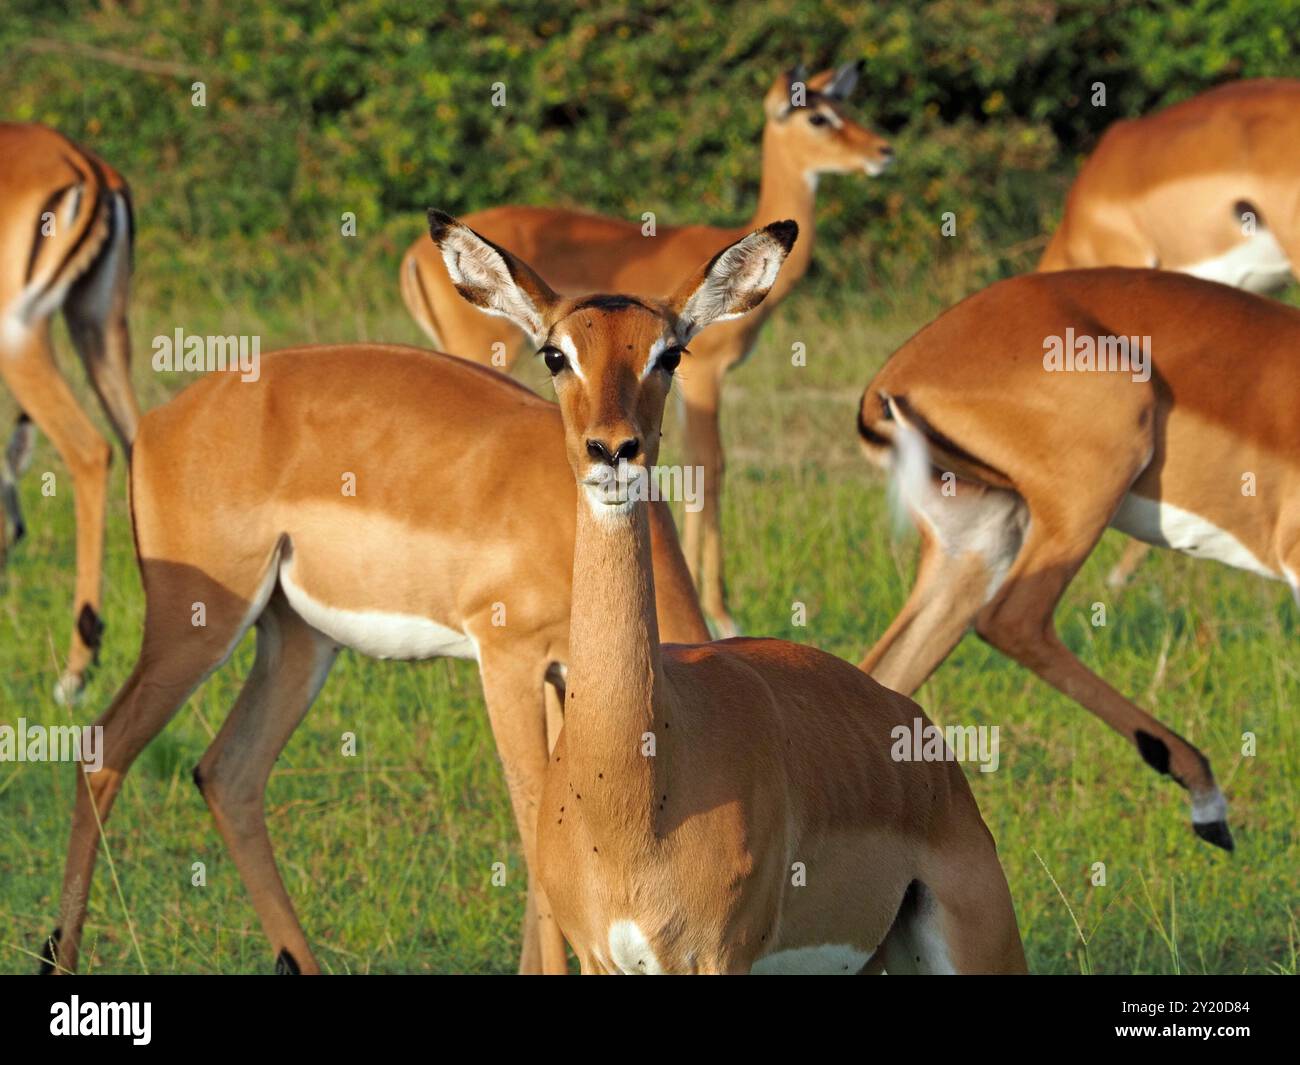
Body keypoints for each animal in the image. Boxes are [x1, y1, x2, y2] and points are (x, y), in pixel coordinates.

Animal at [43, 339, 709, 976]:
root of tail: (154, 426)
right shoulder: (508, 659)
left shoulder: (562, 679)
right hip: (193, 627)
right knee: (101, 747)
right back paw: (60, 956)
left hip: (298, 643)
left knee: (227, 772)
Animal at [400, 61, 893, 638]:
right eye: (818, 117)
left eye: (843, 107)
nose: (883, 150)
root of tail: (414, 255)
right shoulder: (710, 374)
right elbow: (710, 465)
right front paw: (722, 612)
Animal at [424, 213, 1026, 973]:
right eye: (555, 354)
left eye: (670, 354)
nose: (613, 450)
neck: (632, 792)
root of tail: (927, 747)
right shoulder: (599, 955)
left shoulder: (717, 956)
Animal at [853, 265, 1300, 853]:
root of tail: (895, 375)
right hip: (1088, 488)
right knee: (1012, 620)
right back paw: (1204, 797)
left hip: (979, 541)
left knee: (885, 676)